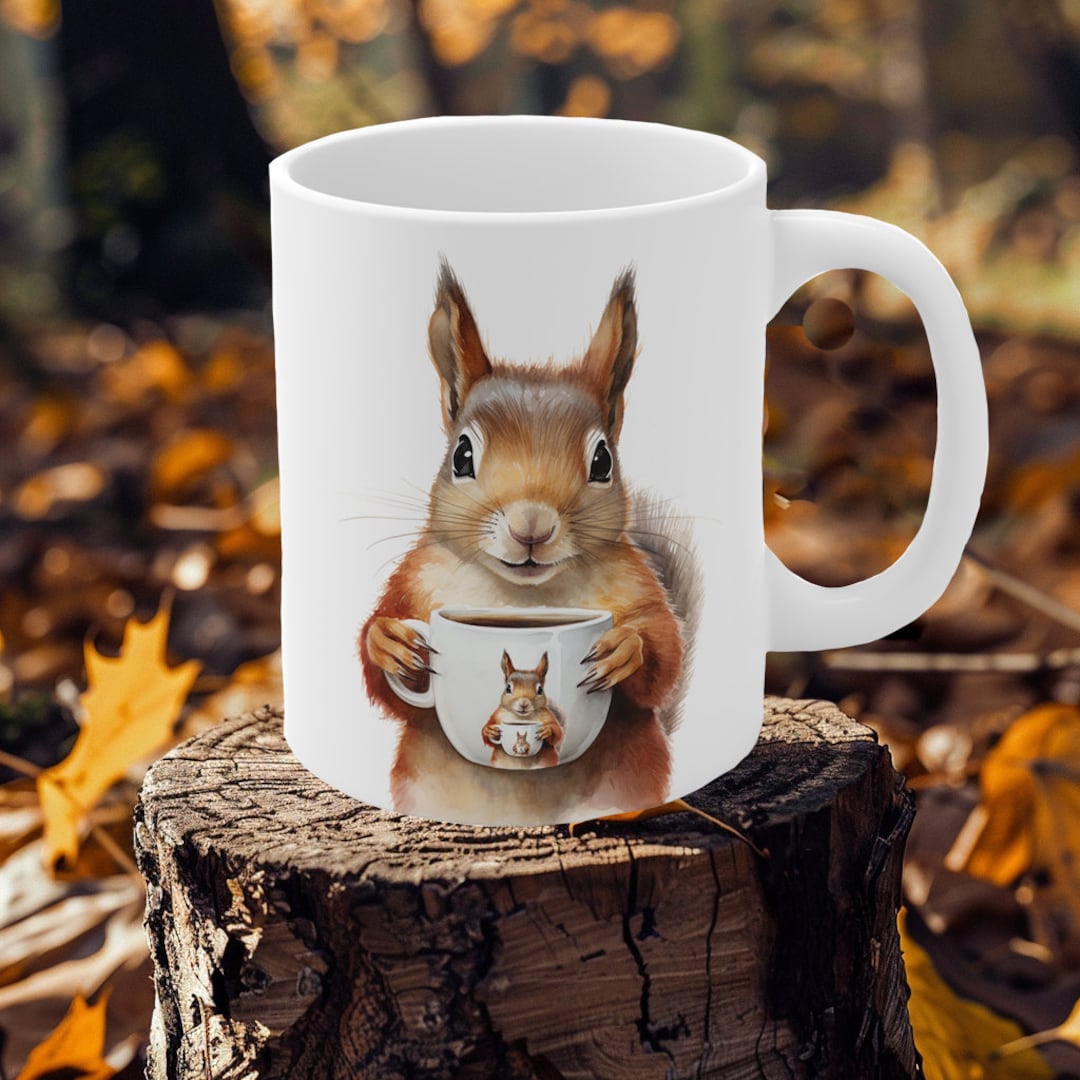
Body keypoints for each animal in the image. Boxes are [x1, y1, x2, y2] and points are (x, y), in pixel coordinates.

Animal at [359, 259, 687, 824]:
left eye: (603, 461)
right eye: (462, 456)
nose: (530, 526)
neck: (524, 597)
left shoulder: (639, 587)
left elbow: (663, 656)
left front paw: (624, 648)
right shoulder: (416, 583)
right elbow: (385, 679)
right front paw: (390, 641)